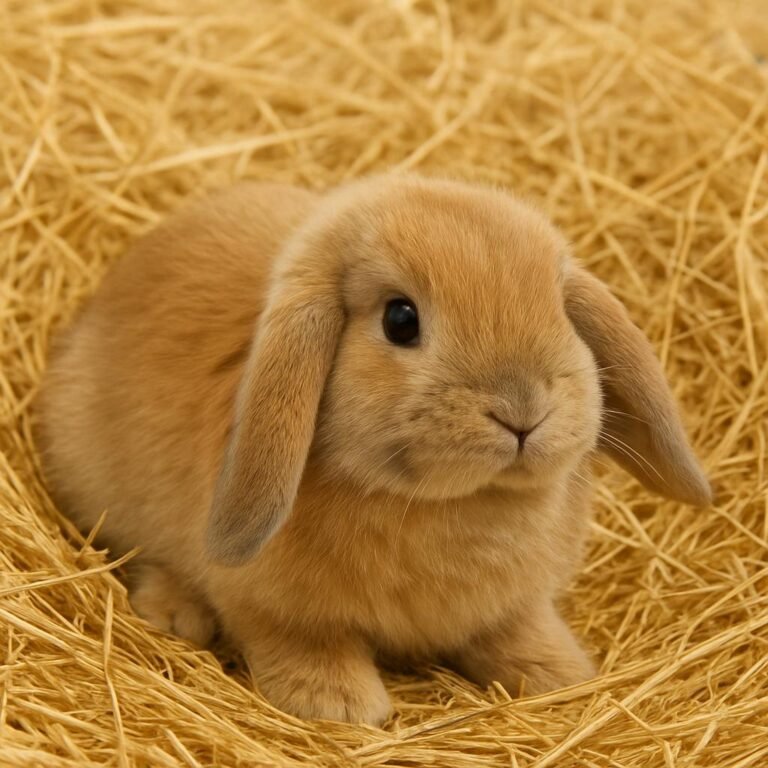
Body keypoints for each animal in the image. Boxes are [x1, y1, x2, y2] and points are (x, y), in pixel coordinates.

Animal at [37, 175, 711, 725]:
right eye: (400, 319)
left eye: (560, 311)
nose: (522, 410)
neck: (448, 506)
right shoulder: (276, 607)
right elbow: (298, 638)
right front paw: (337, 703)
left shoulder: (510, 607)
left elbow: (518, 632)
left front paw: (562, 675)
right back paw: (177, 614)